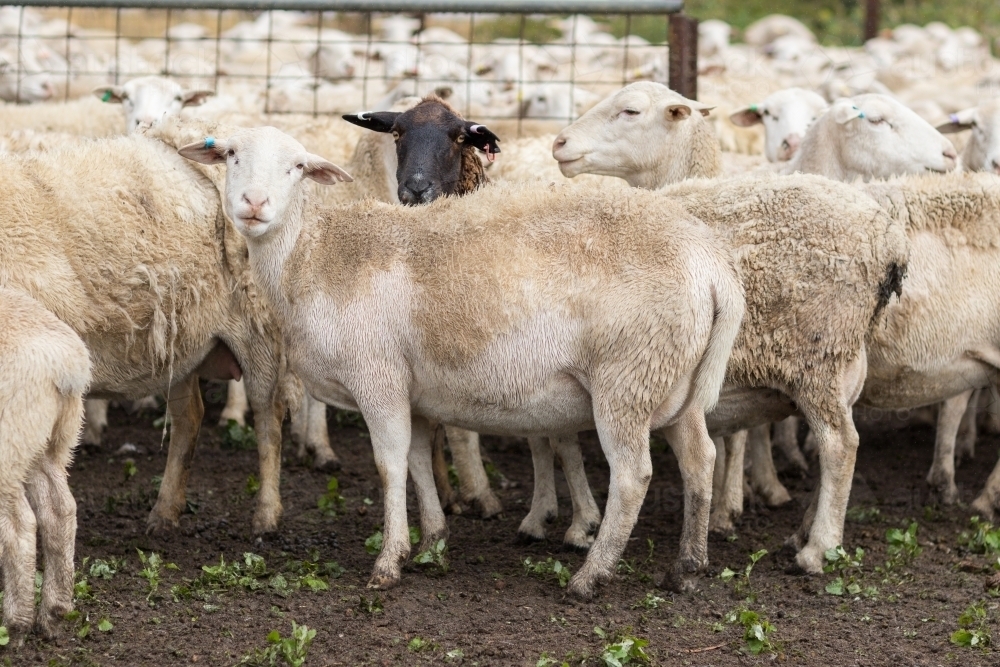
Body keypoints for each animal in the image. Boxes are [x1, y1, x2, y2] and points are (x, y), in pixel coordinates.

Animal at [0, 132, 291, 536]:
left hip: (260, 326)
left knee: (268, 415)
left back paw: (266, 515)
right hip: (181, 341)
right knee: (190, 415)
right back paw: (165, 511)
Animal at [0, 288, 90, 643]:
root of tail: (67, 363)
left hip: (10, 441)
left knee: (19, 526)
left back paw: (15, 625)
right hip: (44, 441)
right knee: (59, 510)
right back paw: (53, 613)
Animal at [178, 125, 746, 597]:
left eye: (296, 167)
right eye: (230, 155)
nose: (254, 203)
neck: (312, 256)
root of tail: (711, 264)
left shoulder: (377, 375)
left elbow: (388, 466)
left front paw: (388, 562)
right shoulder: (413, 392)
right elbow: (418, 462)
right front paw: (431, 542)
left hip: (627, 377)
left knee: (633, 476)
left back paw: (590, 576)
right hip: (671, 380)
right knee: (700, 459)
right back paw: (686, 567)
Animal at [549, 82, 909, 573]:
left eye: (630, 111)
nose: (559, 143)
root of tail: (889, 239)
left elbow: (563, 440)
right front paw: (722, 510)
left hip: (816, 357)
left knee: (840, 444)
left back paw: (818, 549)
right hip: (844, 357)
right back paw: (803, 531)